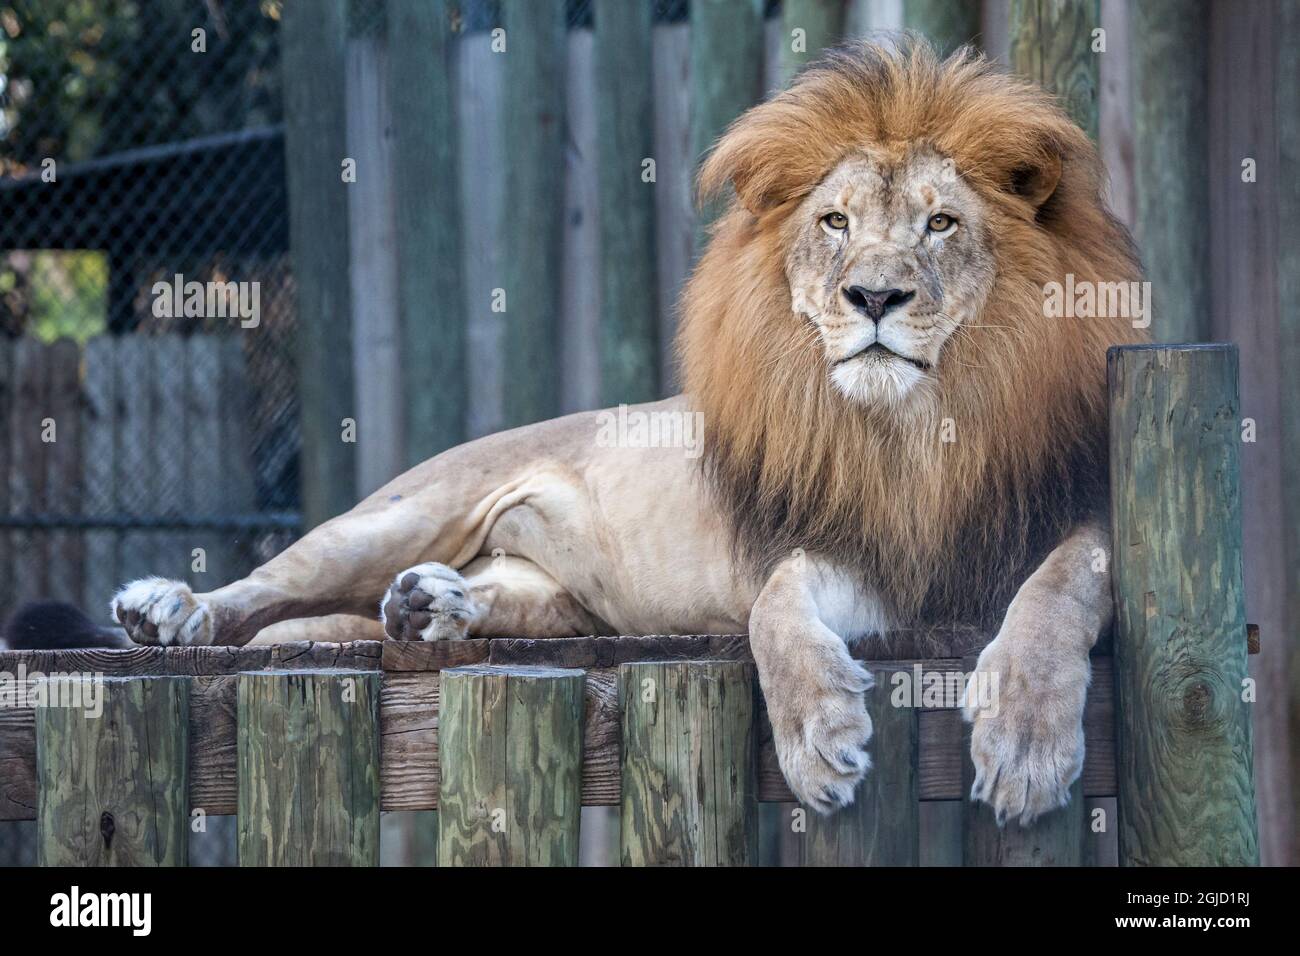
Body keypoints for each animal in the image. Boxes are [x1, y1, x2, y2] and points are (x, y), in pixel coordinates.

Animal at [102, 39, 1147, 822]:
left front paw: (1025, 741)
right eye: (835, 223)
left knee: (456, 604)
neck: (915, 434)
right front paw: (819, 734)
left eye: (940, 225)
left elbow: (1057, 589)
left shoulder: (1066, 512)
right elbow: (775, 608)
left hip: (563, 605)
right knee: (271, 587)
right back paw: (171, 611)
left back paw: (431, 607)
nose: (875, 297)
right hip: (402, 512)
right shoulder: (838, 544)